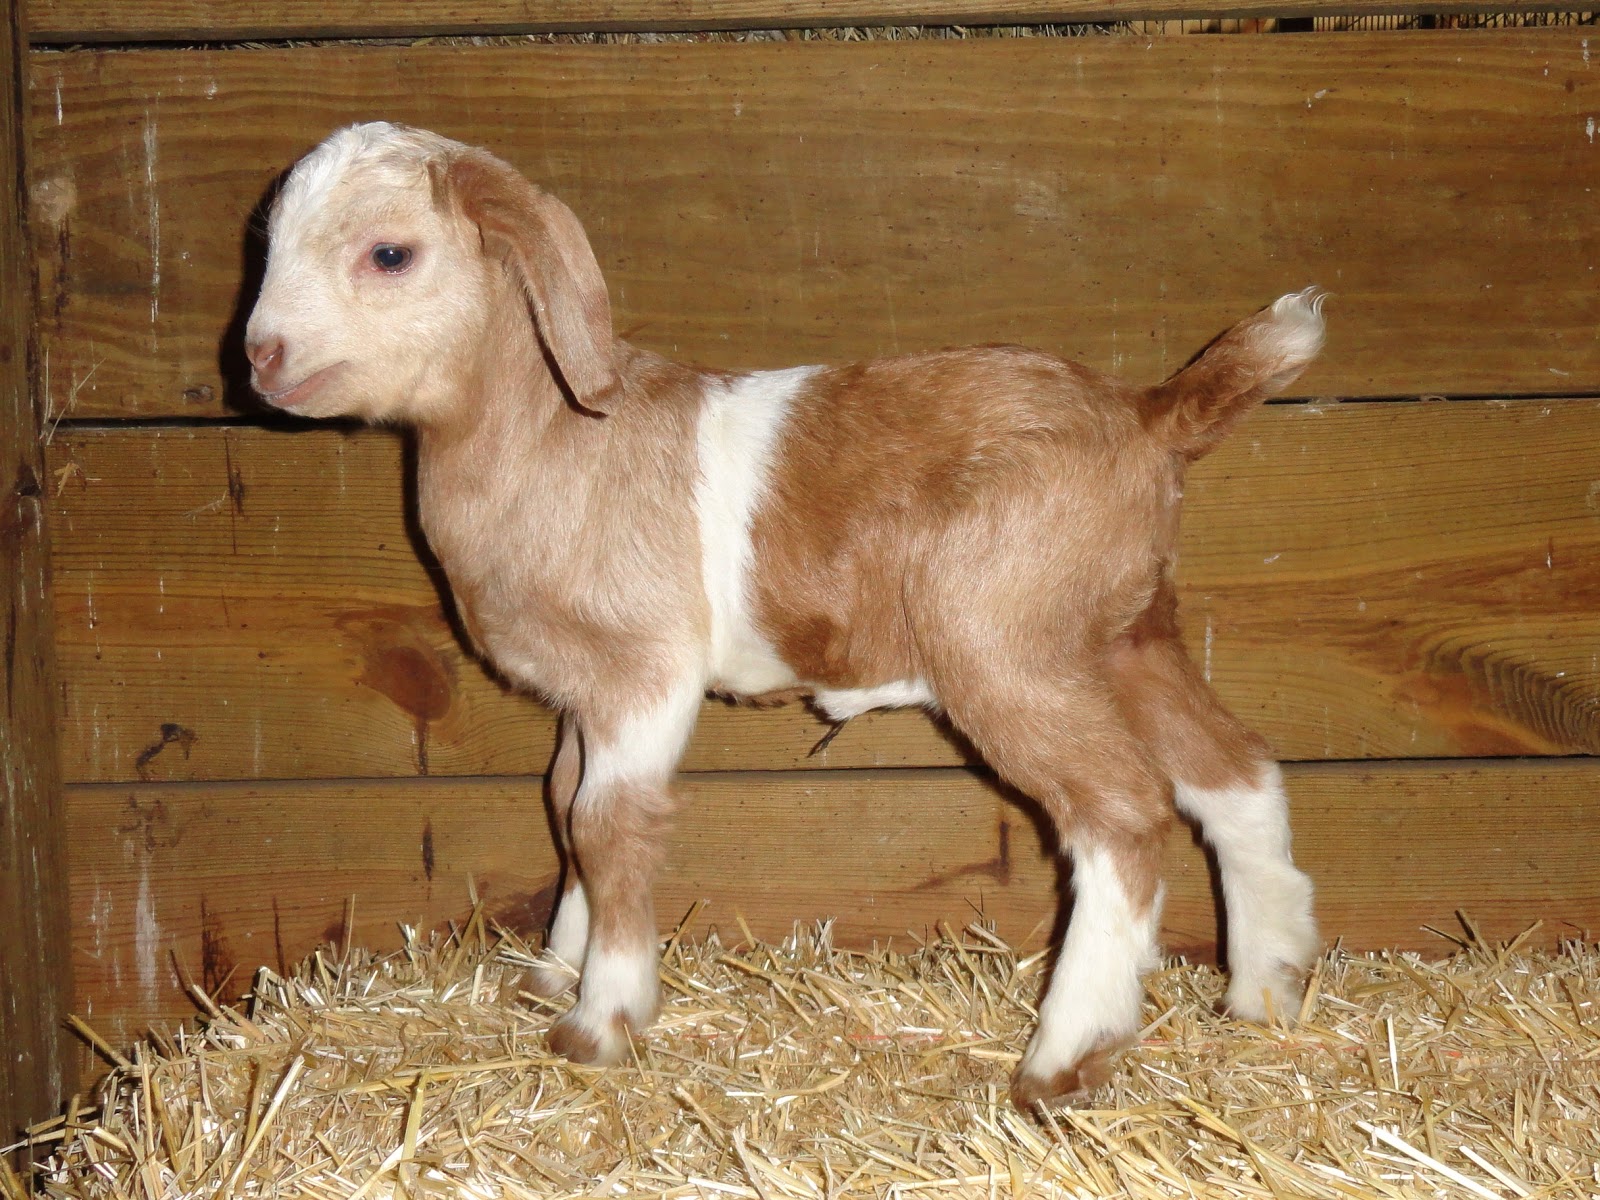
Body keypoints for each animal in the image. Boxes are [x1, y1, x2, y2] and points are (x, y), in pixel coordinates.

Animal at [245, 122, 1323, 1108]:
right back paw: (1265, 990)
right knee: (1234, 773)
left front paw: (601, 1021)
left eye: (390, 254)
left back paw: (1063, 1057)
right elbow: (561, 805)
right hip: (1128, 632)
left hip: (1006, 641)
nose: (261, 354)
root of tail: (1148, 417)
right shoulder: (585, 692)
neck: (552, 438)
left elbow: (608, 822)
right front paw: (554, 973)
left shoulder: (647, 669)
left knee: (1122, 809)